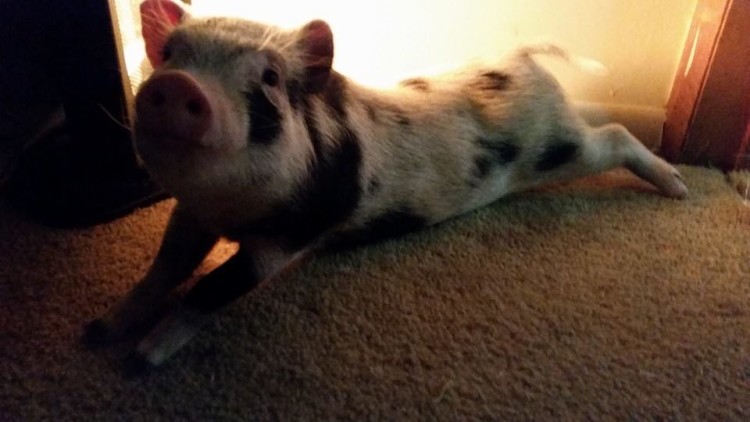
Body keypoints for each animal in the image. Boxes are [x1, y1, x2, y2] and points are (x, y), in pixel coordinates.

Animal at [83, 0, 688, 372]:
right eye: (169, 54)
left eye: (270, 79)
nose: (178, 86)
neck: (226, 208)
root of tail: (519, 59)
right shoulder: (191, 214)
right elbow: (164, 268)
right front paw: (96, 332)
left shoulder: (295, 230)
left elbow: (213, 286)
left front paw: (140, 361)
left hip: (557, 149)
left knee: (614, 135)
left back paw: (680, 190)